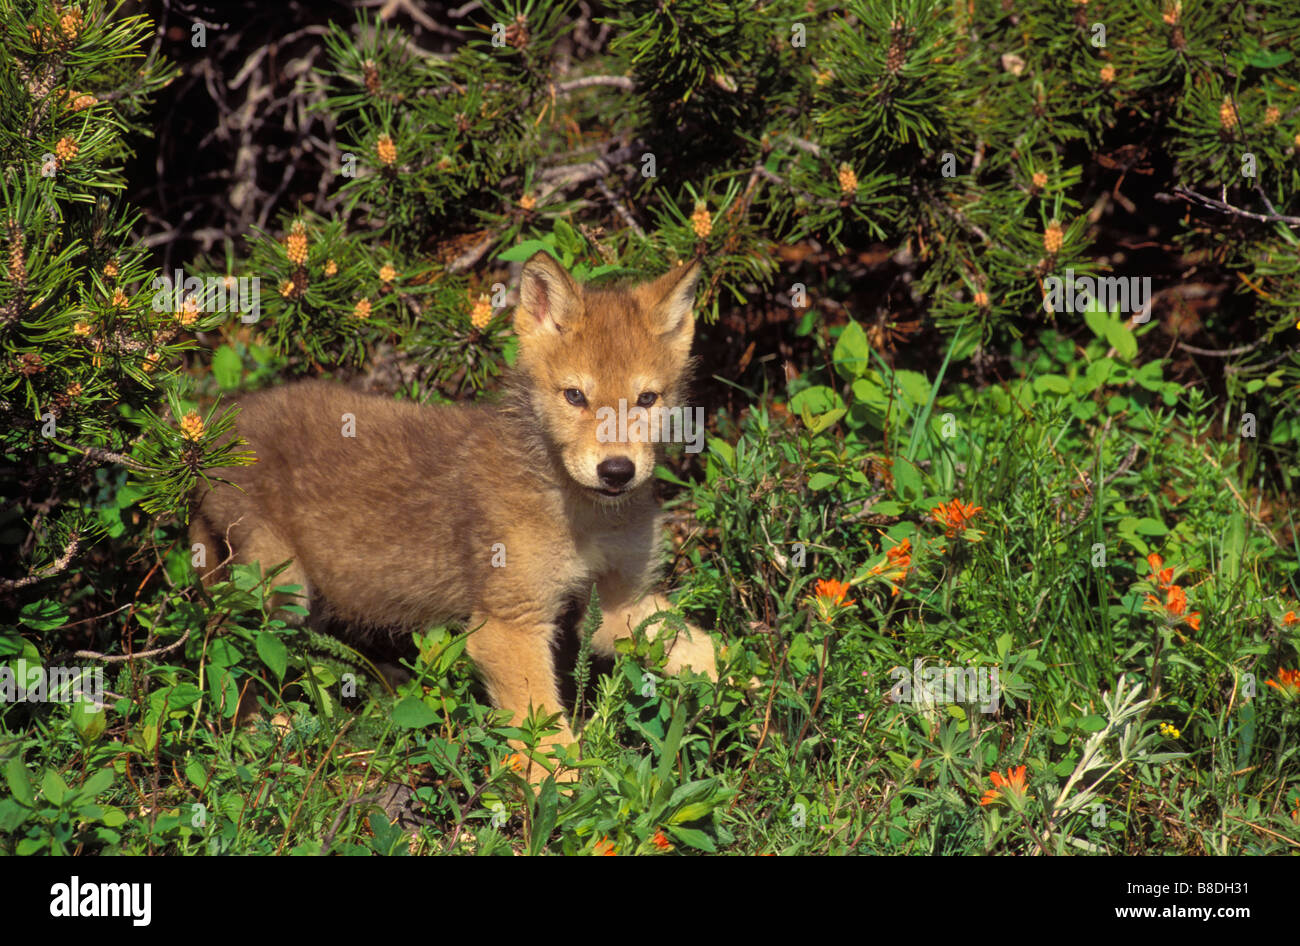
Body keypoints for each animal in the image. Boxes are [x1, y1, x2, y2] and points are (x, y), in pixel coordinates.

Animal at [190, 252, 719, 779]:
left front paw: (733, 707)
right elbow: (549, 747)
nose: (616, 471)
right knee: (229, 648)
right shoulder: (509, 625)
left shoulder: (621, 605)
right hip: (278, 588)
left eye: (647, 399)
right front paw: (573, 796)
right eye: (575, 396)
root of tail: (213, 430)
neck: (583, 513)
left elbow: (706, 651)